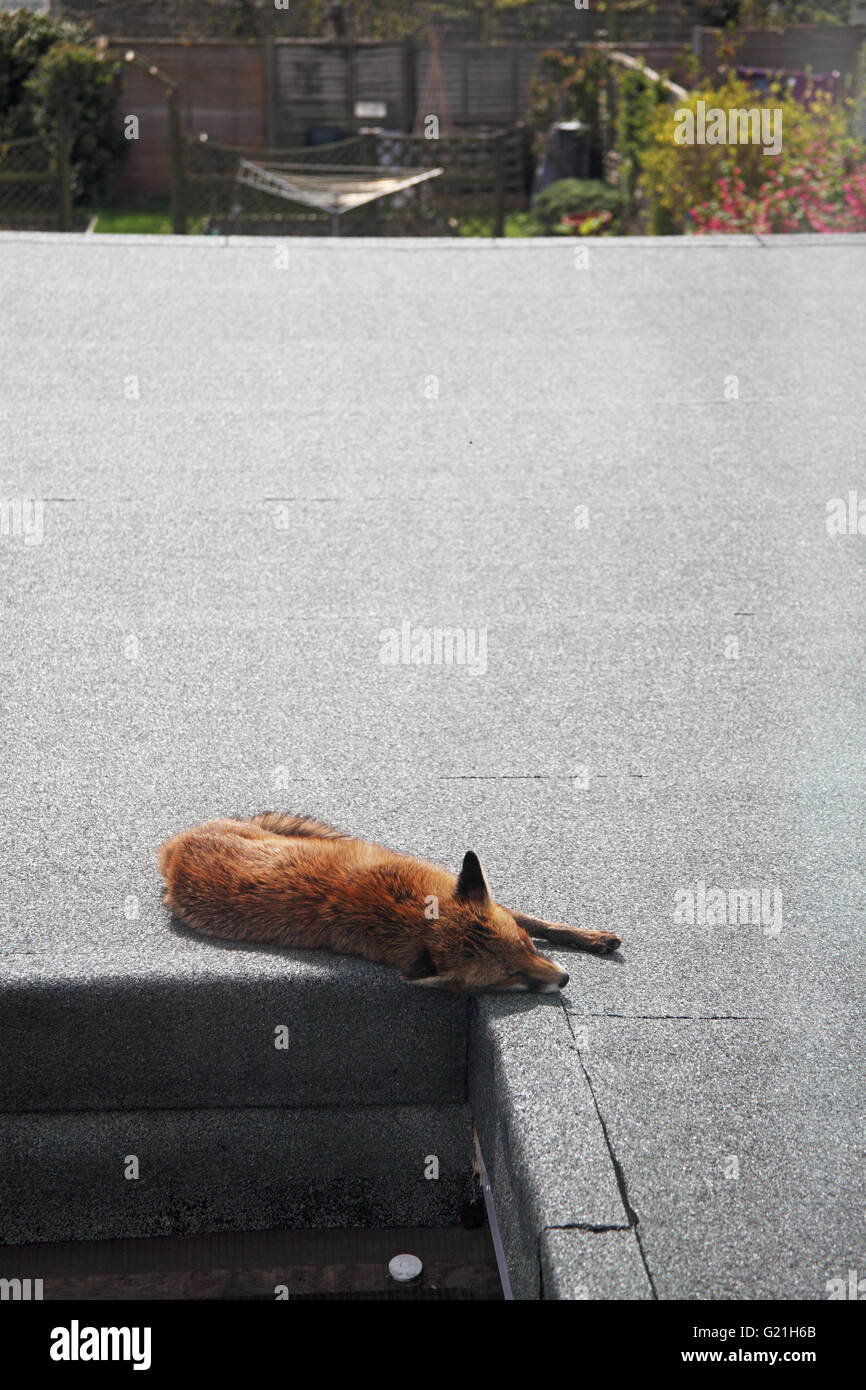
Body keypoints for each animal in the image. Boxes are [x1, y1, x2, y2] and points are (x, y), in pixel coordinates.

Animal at [156, 813, 622, 995]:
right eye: (510, 977)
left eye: (525, 947)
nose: (564, 980)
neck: (411, 910)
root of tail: (176, 847)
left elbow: (541, 922)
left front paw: (590, 938)